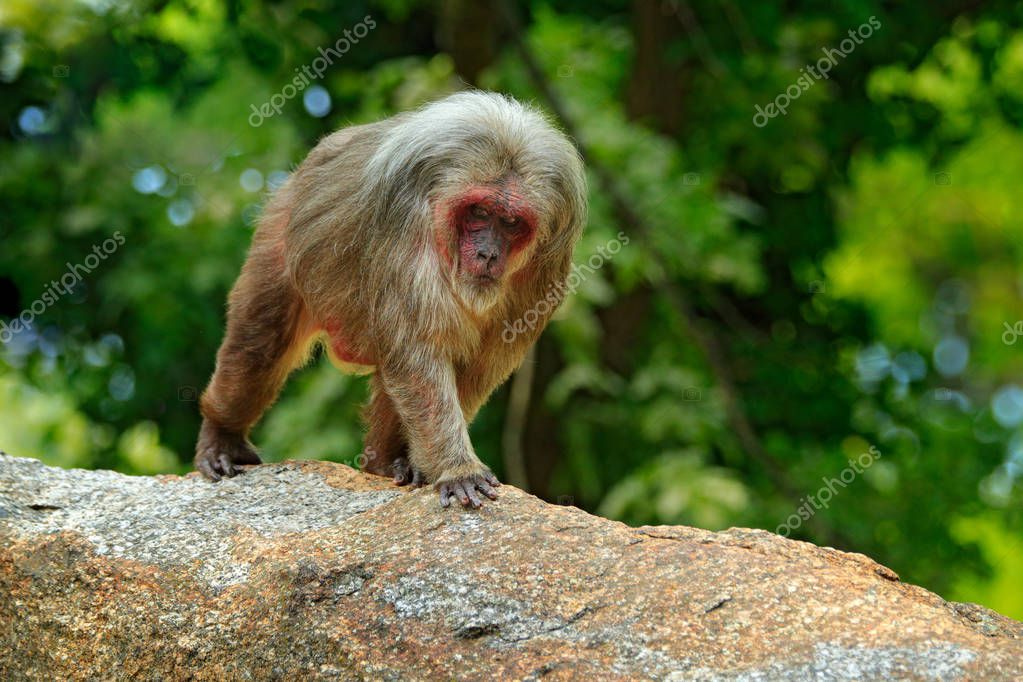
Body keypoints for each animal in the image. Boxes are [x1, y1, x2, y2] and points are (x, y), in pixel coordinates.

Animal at [195, 91, 587, 508]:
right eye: (480, 211)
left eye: (511, 222)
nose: (487, 254)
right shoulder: (404, 223)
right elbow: (417, 356)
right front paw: (457, 467)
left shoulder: (547, 268)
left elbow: (474, 367)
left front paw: (431, 461)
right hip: (279, 230)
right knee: (259, 346)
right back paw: (222, 434)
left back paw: (384, 462)